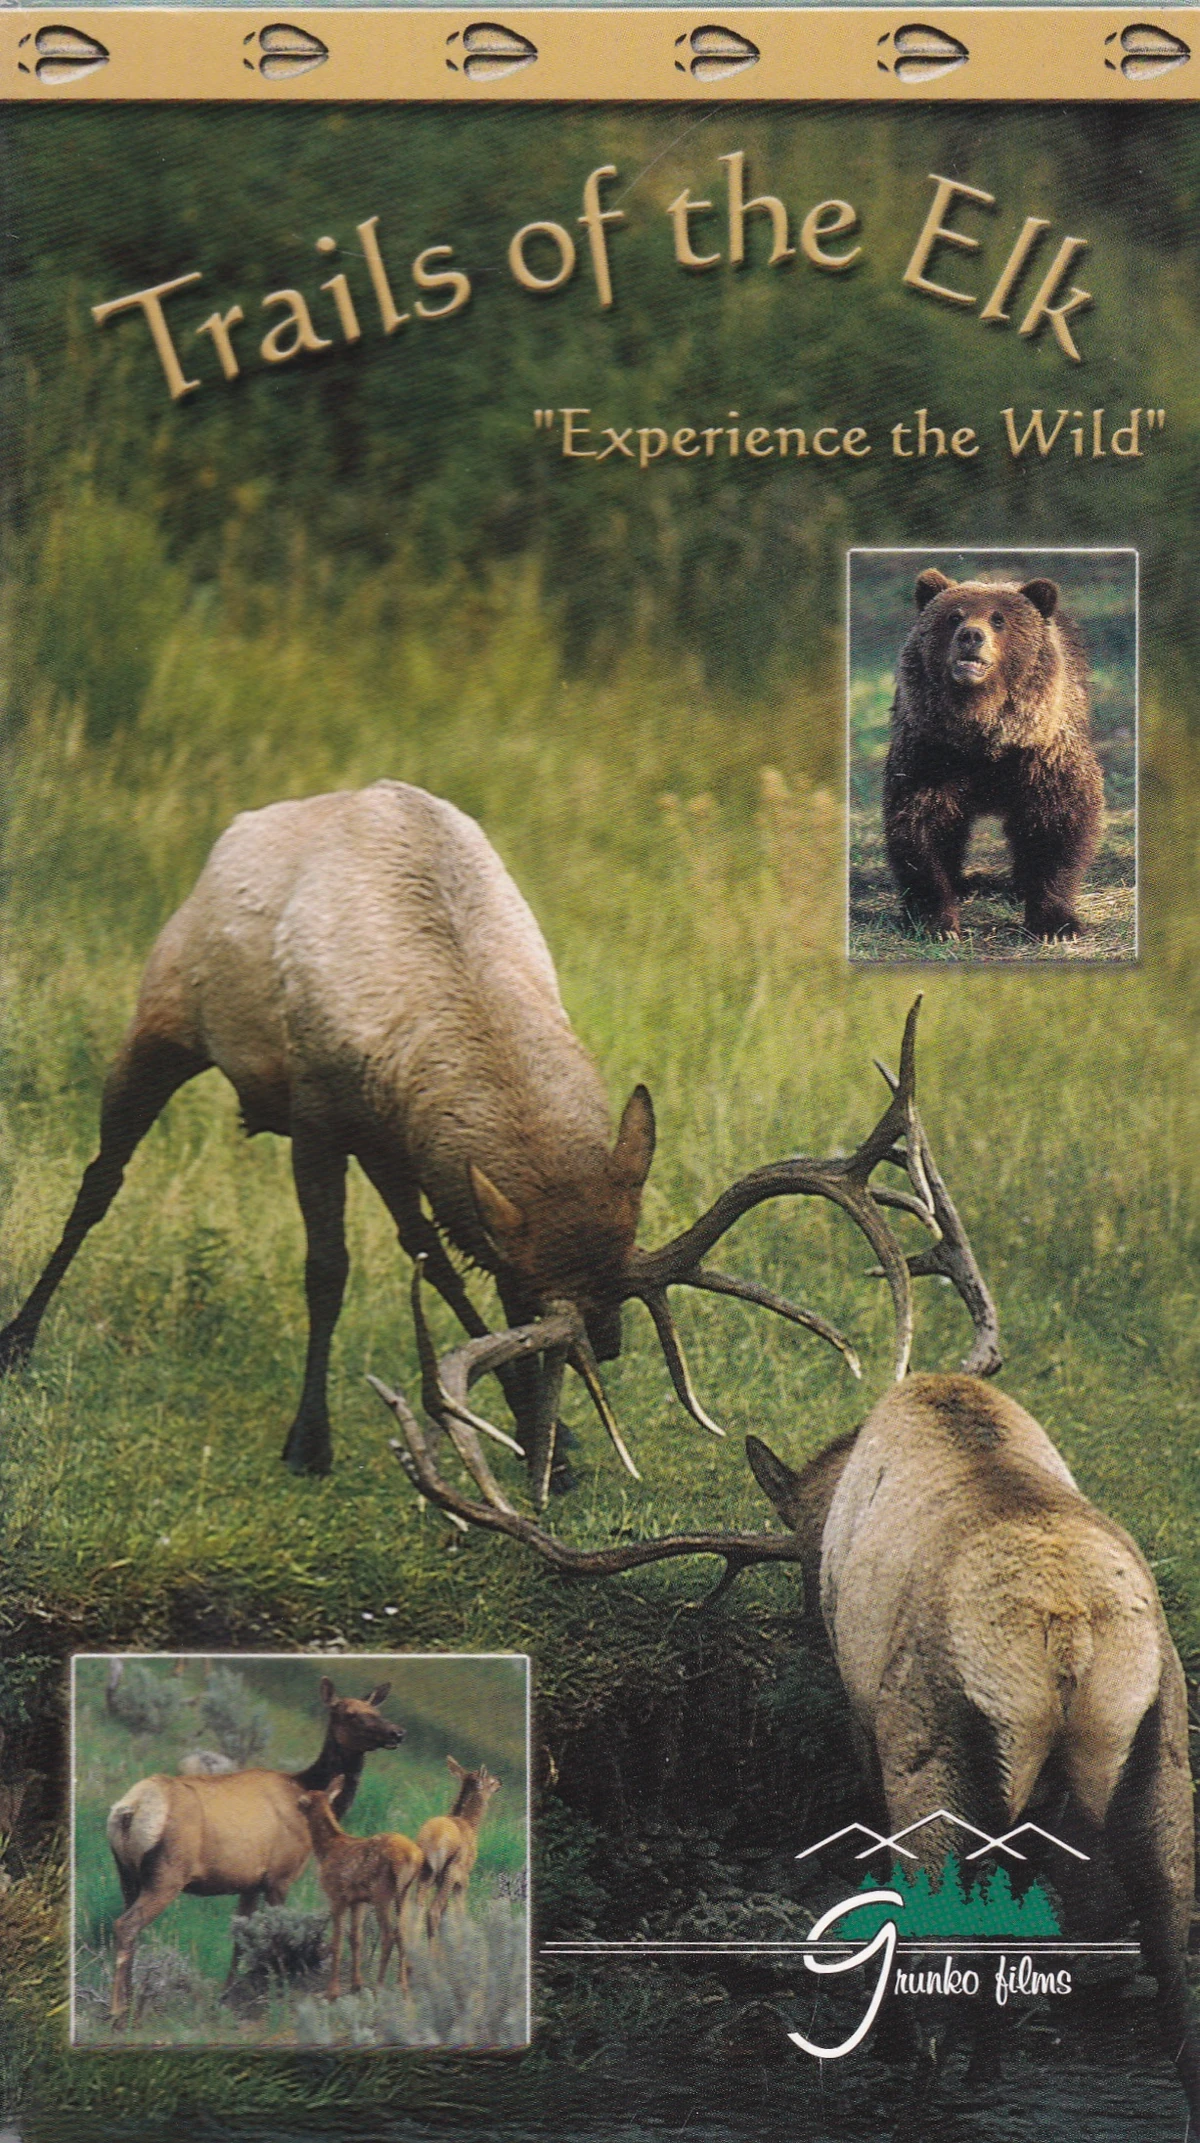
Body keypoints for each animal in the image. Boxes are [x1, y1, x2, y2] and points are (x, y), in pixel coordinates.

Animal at [0, 785, 998, 1505]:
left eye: (605, 1292)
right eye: (536, 1286)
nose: (610, 1345)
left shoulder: (400, 1139)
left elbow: (441, 1263)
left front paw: (547, 1442)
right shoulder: (320, 1114)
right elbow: (326, 1270)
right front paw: (309, 1439)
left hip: (382, 1149)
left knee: (424, 1247)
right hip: (163, 1017)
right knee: (101, 1177)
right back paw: (21, 1335)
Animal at [105, 1674, 404, 2023]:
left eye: (375, 1709)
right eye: (350, 1714)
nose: (397, 1732)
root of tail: (130, 1810)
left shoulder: (248, 1883)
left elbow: (240, 1937)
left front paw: (225, 1996)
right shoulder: (280, 1877)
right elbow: (277, 1938)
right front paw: (275, 1994)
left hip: (126, 1874)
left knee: (128, 1926)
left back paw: (127, 2004)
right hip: (167, 1874)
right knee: (127, 1925)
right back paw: (117, 2012)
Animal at [296, 1777, 423, 1998]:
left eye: (303, 1800)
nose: (295, 1805)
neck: (327, 1849)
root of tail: (411, 1856)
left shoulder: (336, 1895)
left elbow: (336, 1942)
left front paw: (332, 1991)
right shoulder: (358, 1901)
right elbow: (356, 1938)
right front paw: (356, 1984)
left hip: (382, 1892)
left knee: (388, 1935)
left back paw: (380, 1986)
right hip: (405, 1893)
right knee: (402, 1932)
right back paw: (403, 1986)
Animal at [412, 1757, 502, 1941]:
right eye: (490, 1780)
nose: (500, 1781)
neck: (471, 1825)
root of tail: (434, 1840)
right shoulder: (463, 1877)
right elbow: (459, 1915)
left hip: (426, 1872)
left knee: (416, 1910)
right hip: (451, 1871)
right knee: (433, 1912)